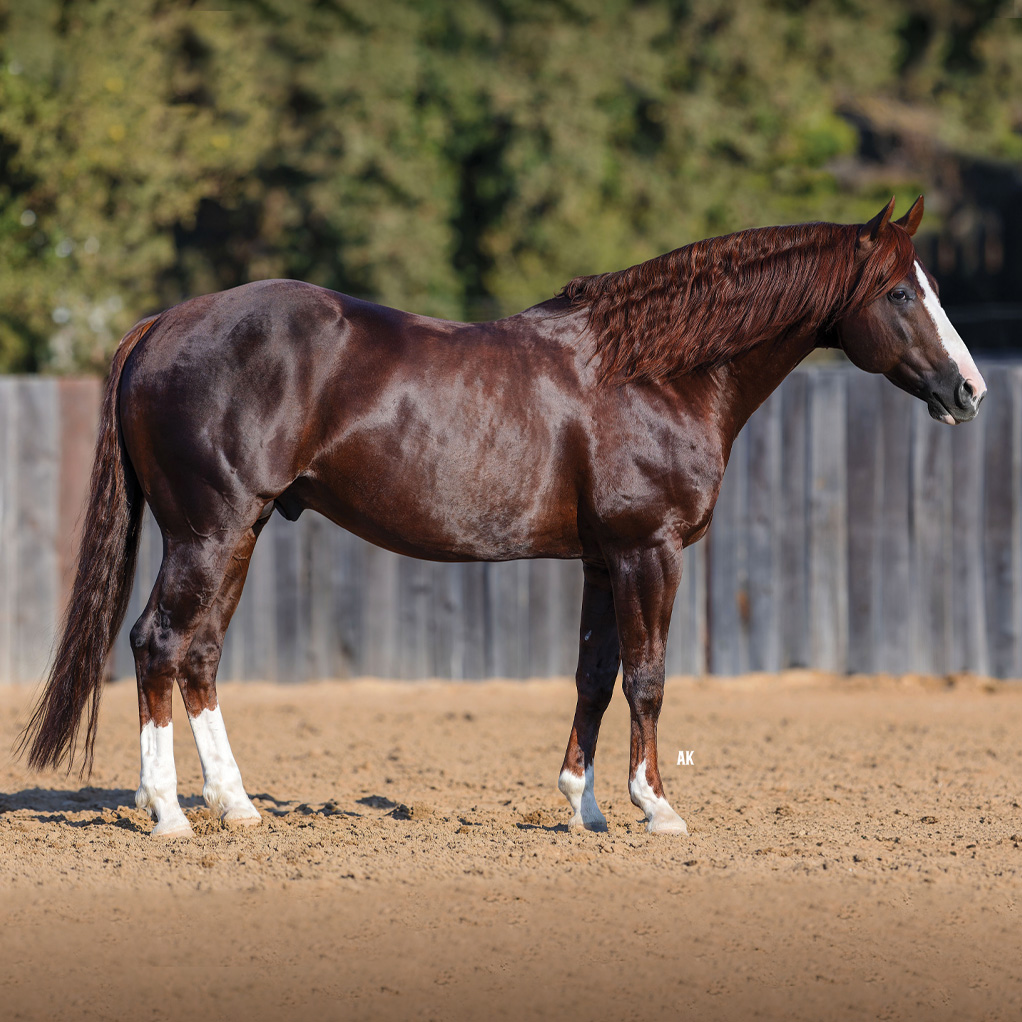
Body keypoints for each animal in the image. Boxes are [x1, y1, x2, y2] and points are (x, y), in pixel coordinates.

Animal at [20, 195, 986, 838]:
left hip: (238, 533)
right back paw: (171, 816)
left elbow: (593, 675)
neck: (653, 373)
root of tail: (159, 325)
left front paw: (584, 808)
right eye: (901, 293)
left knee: (200, 654)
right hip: (210, 531)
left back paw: (236, 806)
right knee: (158, 643)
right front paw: (656, 808)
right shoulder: (650, 552)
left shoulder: (604, 559)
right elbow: (648, 678)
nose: (969, 390)